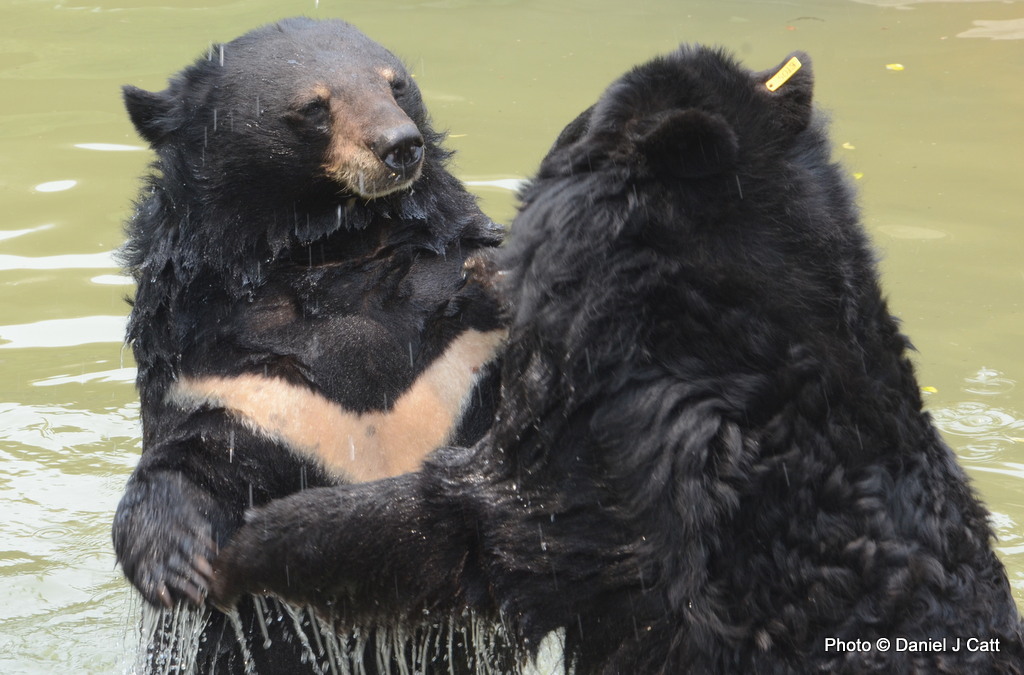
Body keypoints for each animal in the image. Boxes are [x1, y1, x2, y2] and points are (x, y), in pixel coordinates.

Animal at [111, 17, 508, 673]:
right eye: (314, 107)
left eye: (396, 85)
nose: (400, 147)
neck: (330, 250)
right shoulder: (231, 378)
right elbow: (190, 461)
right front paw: (177, 564)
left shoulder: (461, 352)